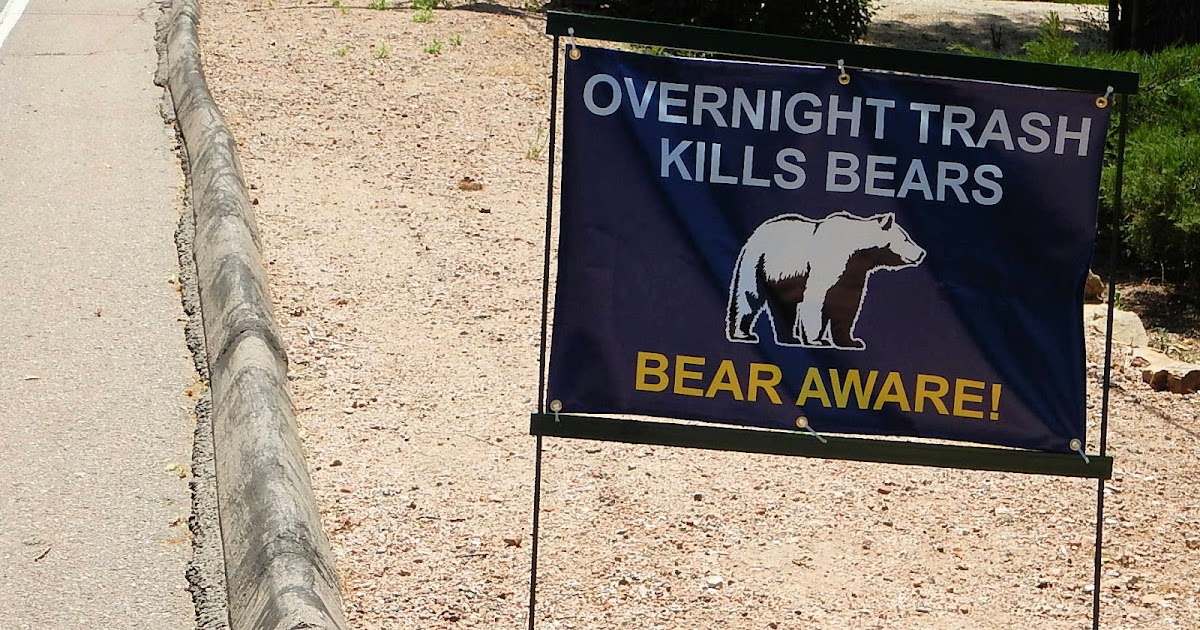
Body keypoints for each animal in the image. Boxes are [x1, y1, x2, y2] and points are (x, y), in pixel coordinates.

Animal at [725, 211, 925, 350]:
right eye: (906, 238)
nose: (922, 252)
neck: (856, 250)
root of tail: (757, 232)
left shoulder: (852, 273)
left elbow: (846, 306)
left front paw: (851, 341)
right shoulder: (827, 262)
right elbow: (817, 300)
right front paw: (817, 340)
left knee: (785, 306)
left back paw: (789, 338)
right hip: (759, 262)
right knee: (749, 296)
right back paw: (743, 334)